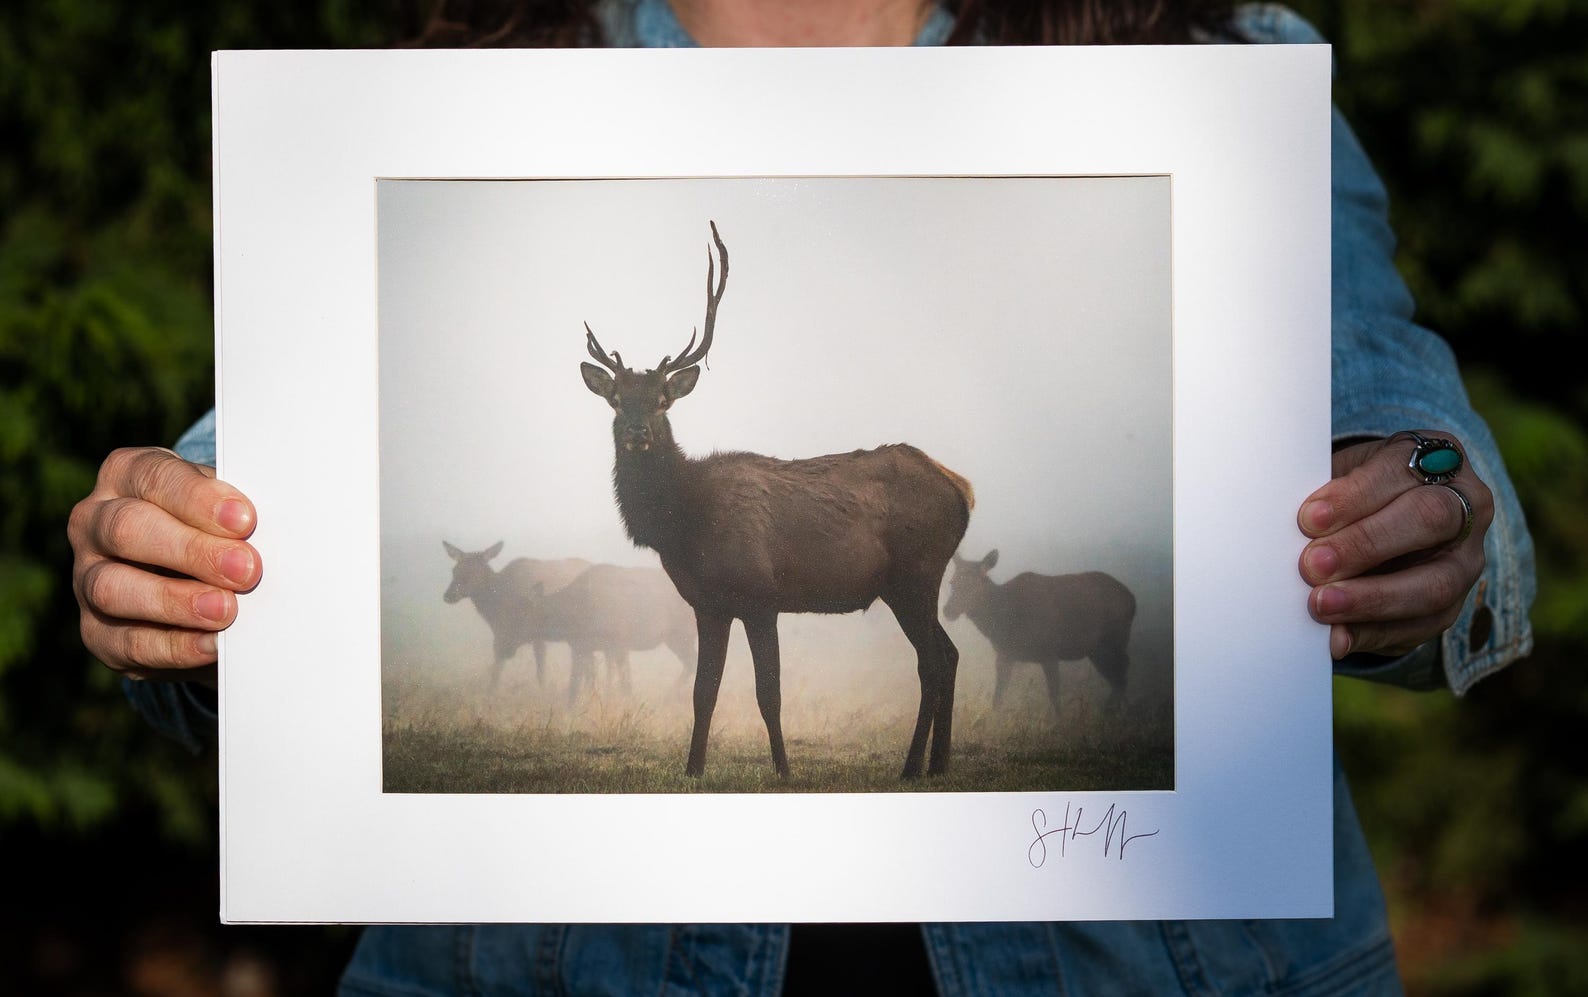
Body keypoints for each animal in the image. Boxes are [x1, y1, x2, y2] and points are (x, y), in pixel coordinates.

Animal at [441, 541, 590, 689]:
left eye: (474, 572)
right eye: (454, 570)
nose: (448, 595)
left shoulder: (534, 635)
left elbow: (540, 671)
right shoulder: (502, 635)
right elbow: (496, 671)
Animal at [524, 562, 698, 702]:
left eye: (533, 614)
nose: (526, 633)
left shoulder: (617, 644)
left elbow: (620, 680)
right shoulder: (583, 648)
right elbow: (581, 681)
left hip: (682, 636)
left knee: (691, 662)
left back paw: (670, 694)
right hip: (674, 640)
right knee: (690, 662)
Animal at [578, 222, 975, 779]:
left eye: (662, 401)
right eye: (616, 400)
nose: (637, 432)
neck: (684, 526)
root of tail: (962, 489)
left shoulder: (761, 596)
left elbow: (769, 694)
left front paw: (785, 770)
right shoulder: (709, 605)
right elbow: (703, 693)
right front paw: (693, 769)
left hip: (916, 574)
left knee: (934, 660)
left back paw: (913, 765)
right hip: (909, 582)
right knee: (949, 655)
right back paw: (936, 765)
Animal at [943, 549, 1136, 723]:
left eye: (974, 584)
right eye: (952, 582)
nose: (947, 610)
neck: (1002, 623)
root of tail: (1132, 599)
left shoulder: (1049, 651)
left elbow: (1054, 694)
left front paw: (1059, 723)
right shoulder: (1005, 655)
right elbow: (998, 696)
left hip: (1114, 639)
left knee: (1122, 669)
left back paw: (1116, 711)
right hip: (1096, 650)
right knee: (1117, 674)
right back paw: (1116, 711)